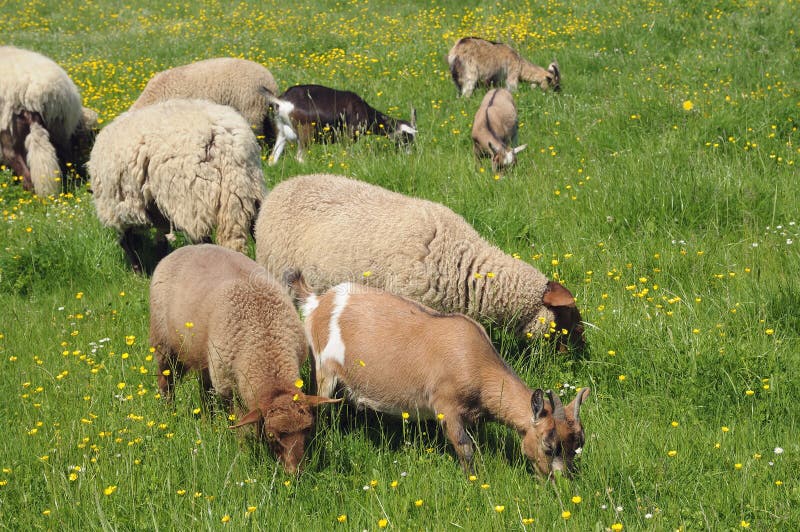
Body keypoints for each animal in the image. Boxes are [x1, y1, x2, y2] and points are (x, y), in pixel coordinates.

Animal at [87, 98, 266, 274]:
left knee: (203, 241)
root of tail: (223, 139)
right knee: (258, 228)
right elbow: (160, 240)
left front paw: (138, 270)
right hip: (245, 188)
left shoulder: (121, 209)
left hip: (191, 201)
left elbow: (127, 241)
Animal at [149, 244, 337, 474]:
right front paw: (245, 450)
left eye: (308, 429)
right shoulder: (229, 386)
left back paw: (207, 421)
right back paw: (170, 412)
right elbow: (241, 422)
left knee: (204, 389)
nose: (296, 473)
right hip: (163, 342)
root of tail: (186, 247)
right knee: (166, 382)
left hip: (206, 357)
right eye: (272, 435)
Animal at [262, 84, 416, 165]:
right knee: (299, 158)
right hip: (305, 134)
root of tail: (283, 101)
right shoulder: (349, 137)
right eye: (406, 137)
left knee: (272, 159)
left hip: (281, 133)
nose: (409, 155)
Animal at [288, 272, 590, 476]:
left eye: (578, 445)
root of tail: (319, 302)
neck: (477, 362)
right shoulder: (447, 407)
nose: (562, 482)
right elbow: (466, 449)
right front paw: (475, 483)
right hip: (324, 370)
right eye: (549, 447)